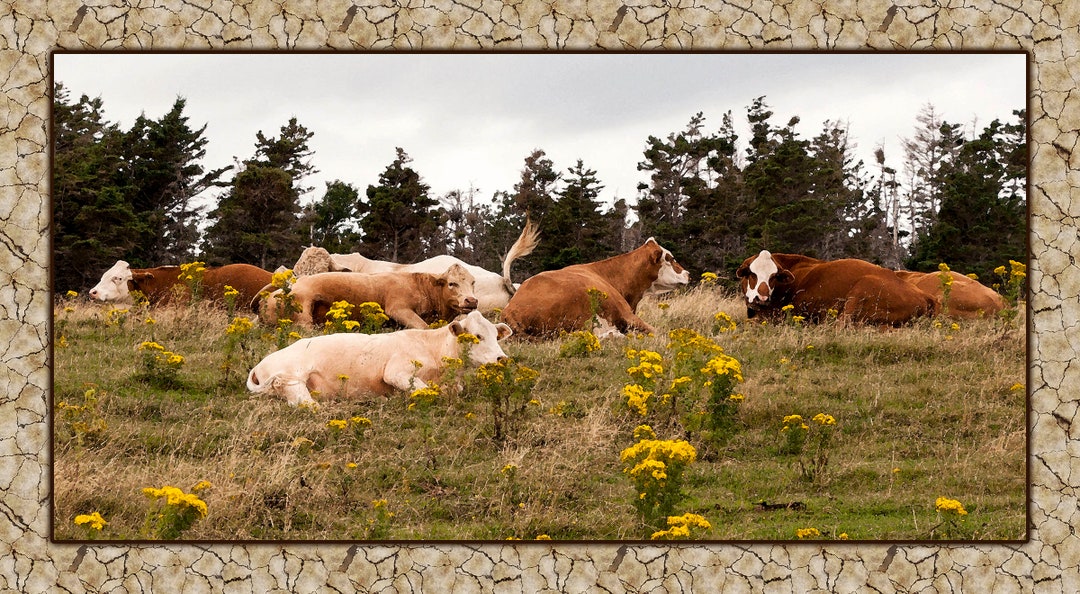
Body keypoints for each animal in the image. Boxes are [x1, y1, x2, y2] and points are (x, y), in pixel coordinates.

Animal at [246, 310, 513, 406]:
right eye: (477, 336)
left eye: (496, 335)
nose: (502, 358)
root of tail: (259, 365)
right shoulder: (396, 372)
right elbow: (424, 389)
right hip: (291, 376)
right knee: (304, 402)